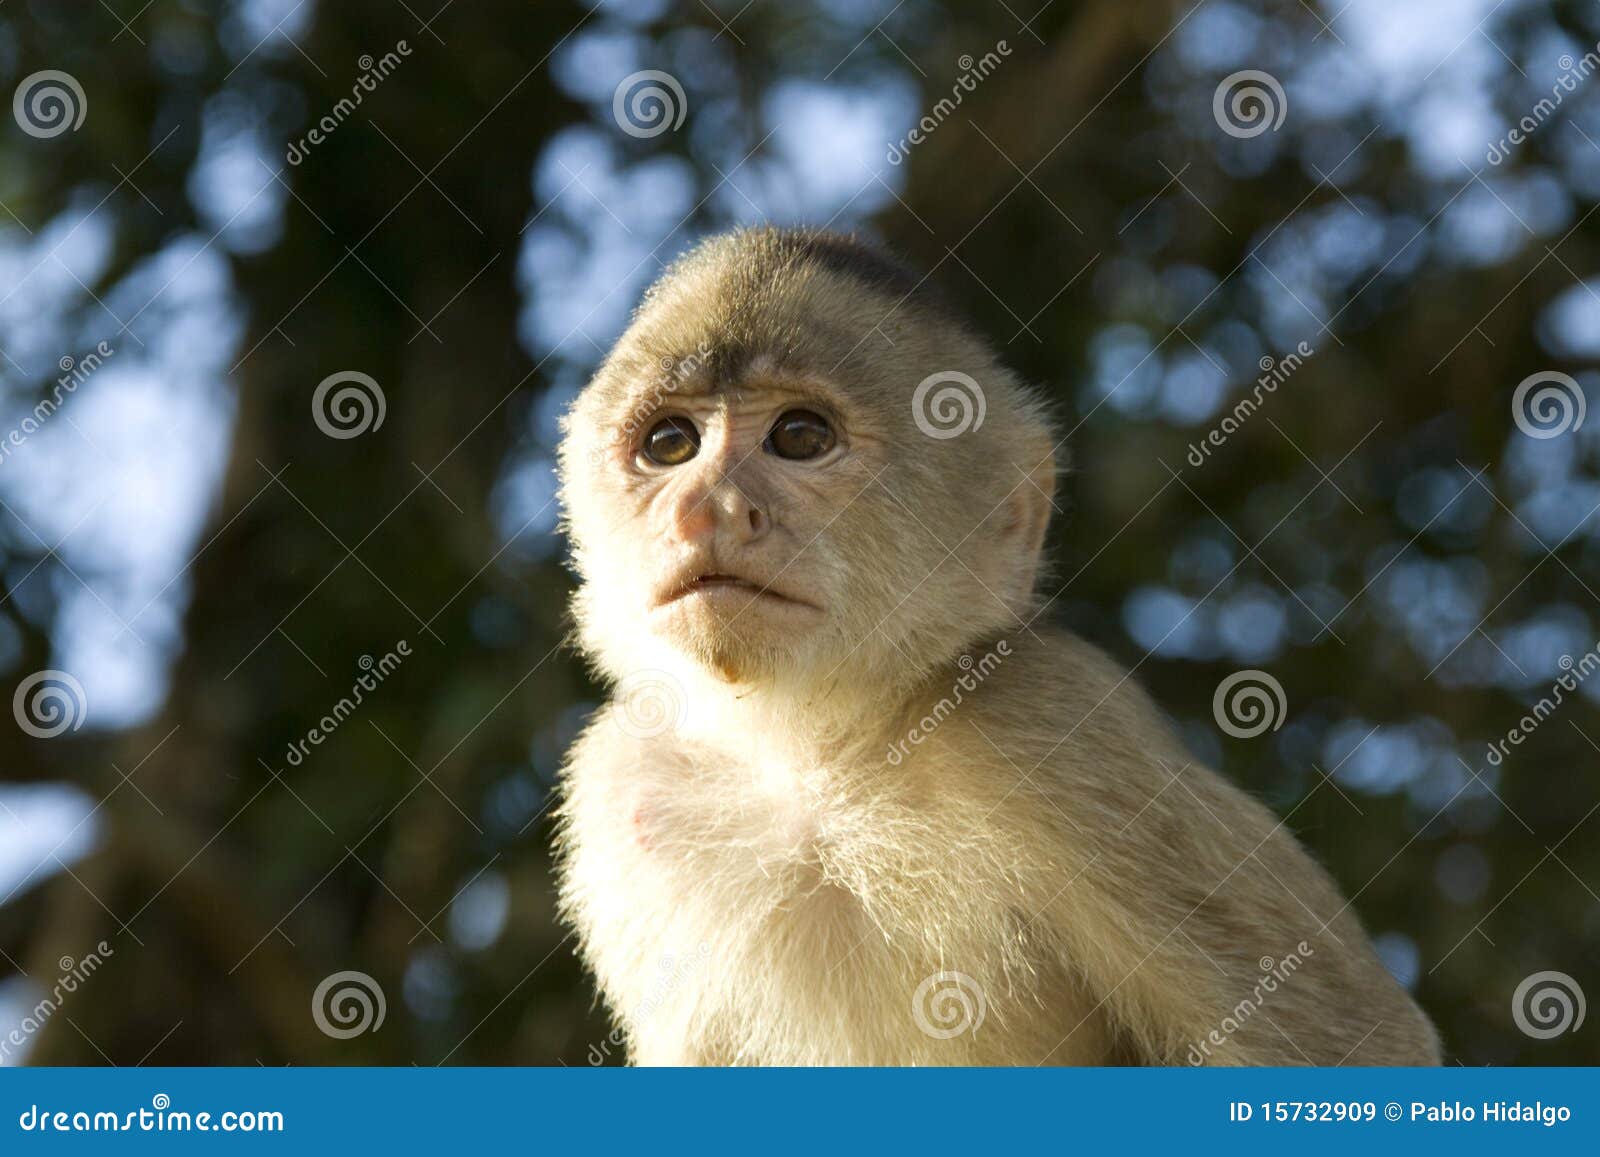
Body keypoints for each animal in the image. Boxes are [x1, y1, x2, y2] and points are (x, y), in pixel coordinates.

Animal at [553, 226, 1441, 1066]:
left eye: (798, 436)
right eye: (671, 445)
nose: (706, 508)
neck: (816, 754)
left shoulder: (1048, 713)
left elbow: (1352, 1041)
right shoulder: (621, 778)